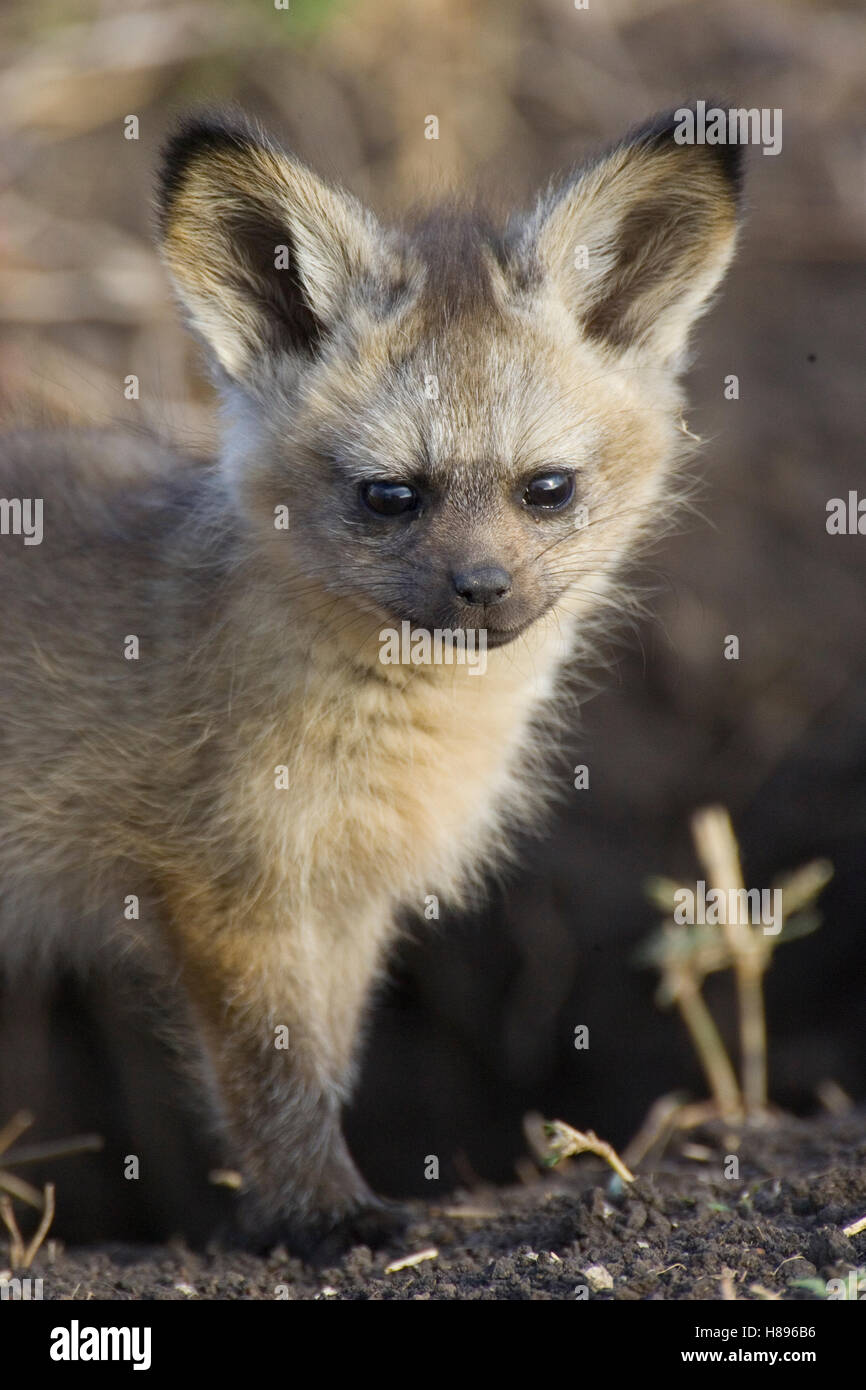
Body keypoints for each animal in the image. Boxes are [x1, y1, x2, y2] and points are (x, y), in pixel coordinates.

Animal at [0, 106, 742, 1253]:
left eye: (547, 490)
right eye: (391, 495)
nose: (482, 590)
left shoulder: (343, 900)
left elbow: (327, 1061)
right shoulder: (230, 885)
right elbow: (275, 1075)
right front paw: (320, 1214)